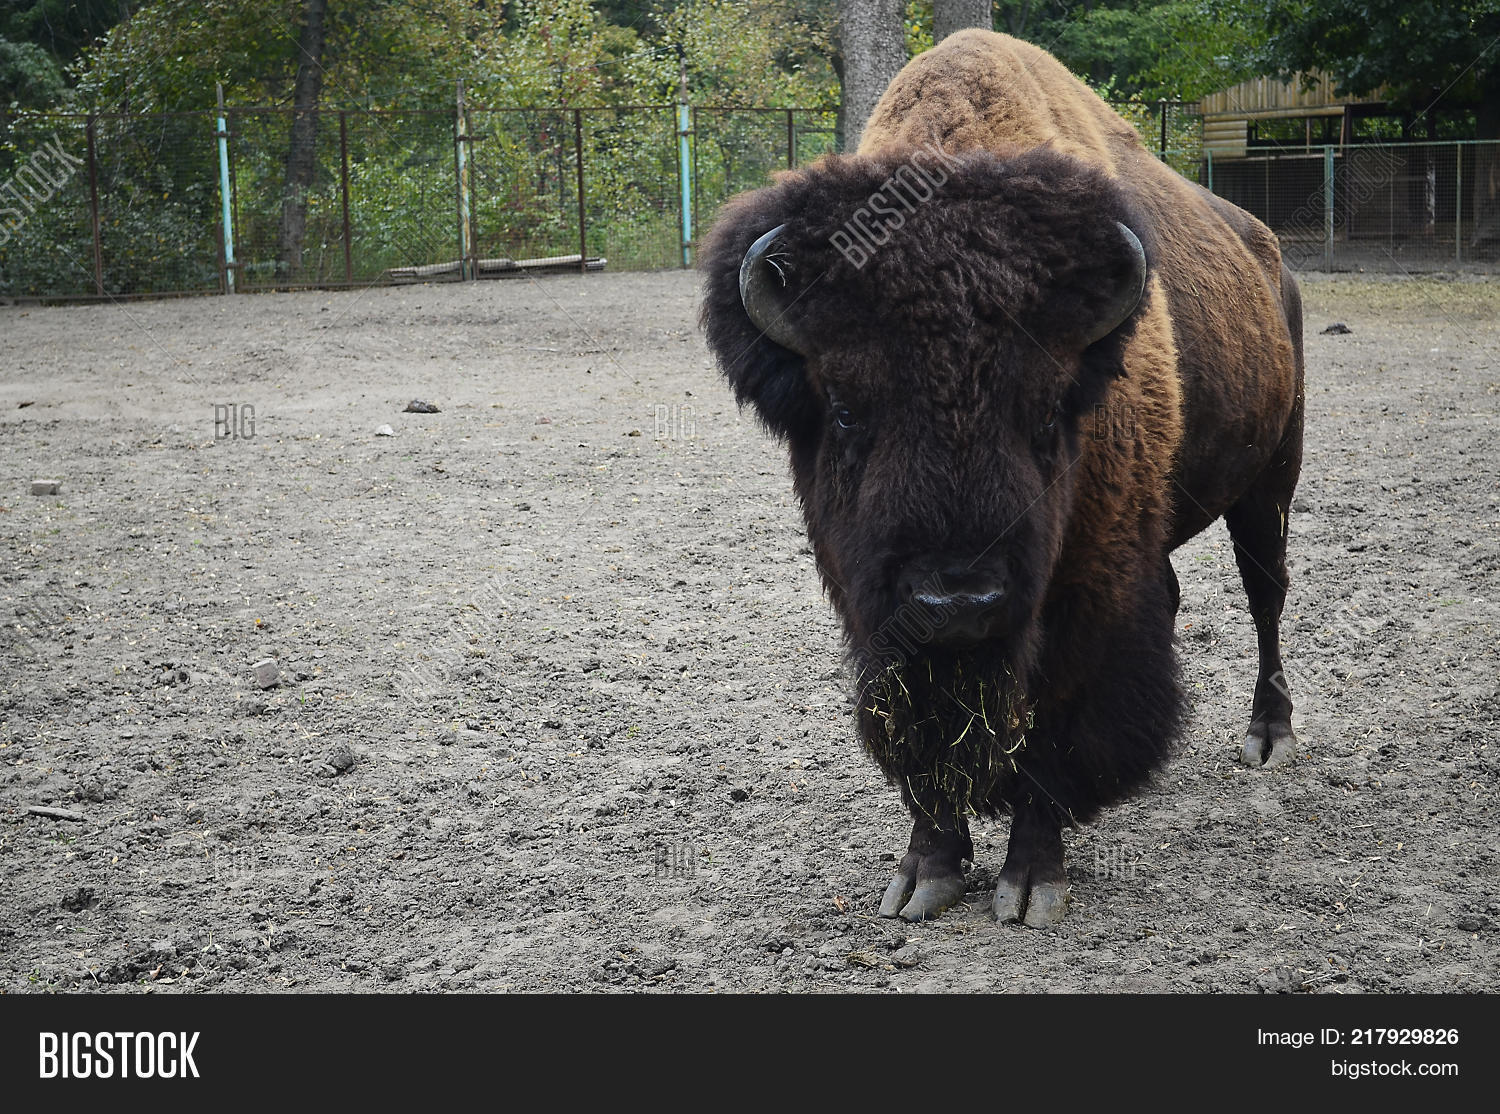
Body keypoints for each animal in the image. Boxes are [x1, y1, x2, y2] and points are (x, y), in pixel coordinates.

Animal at [699, 30, 1304, 926]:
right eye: (843, 409)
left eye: (1050, 409)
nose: (957, 601)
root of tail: (1271, 259)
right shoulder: (873, 605)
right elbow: (919, 729)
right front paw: (925, 871)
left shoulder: (1076, 590)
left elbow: (1053, 718)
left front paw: (1030, 882)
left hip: (1268, 485)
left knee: (1267, 597)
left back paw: (1270, 735)